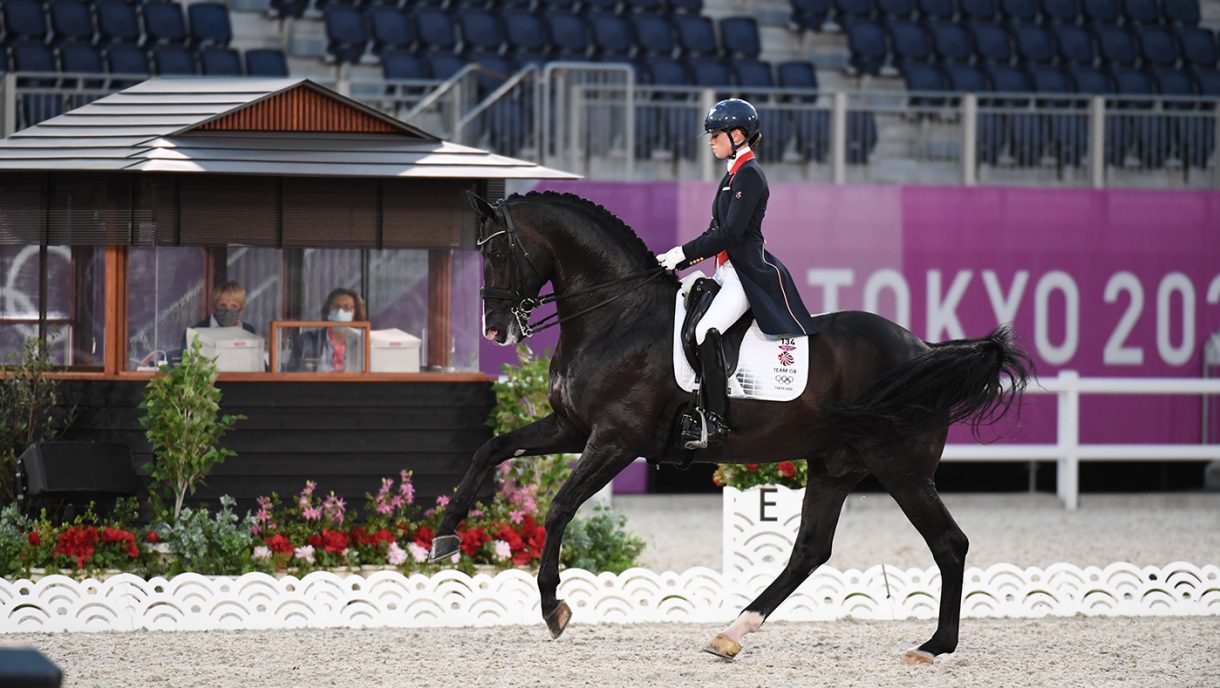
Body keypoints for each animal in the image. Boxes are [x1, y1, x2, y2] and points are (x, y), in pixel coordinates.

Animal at [428, 190, 1032, 664]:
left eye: (498, 252)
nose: (496, 329)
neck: (618, 315)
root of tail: (922, 349)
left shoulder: (616, 440)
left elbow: (559, 507)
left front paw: (553, 606)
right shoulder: (570, 428)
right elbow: (490, 448)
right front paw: (445, 536)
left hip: (901, 468)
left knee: (949, 543)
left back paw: (935, 646)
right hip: (835, 464)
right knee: (810, 550)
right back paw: (732, 632)